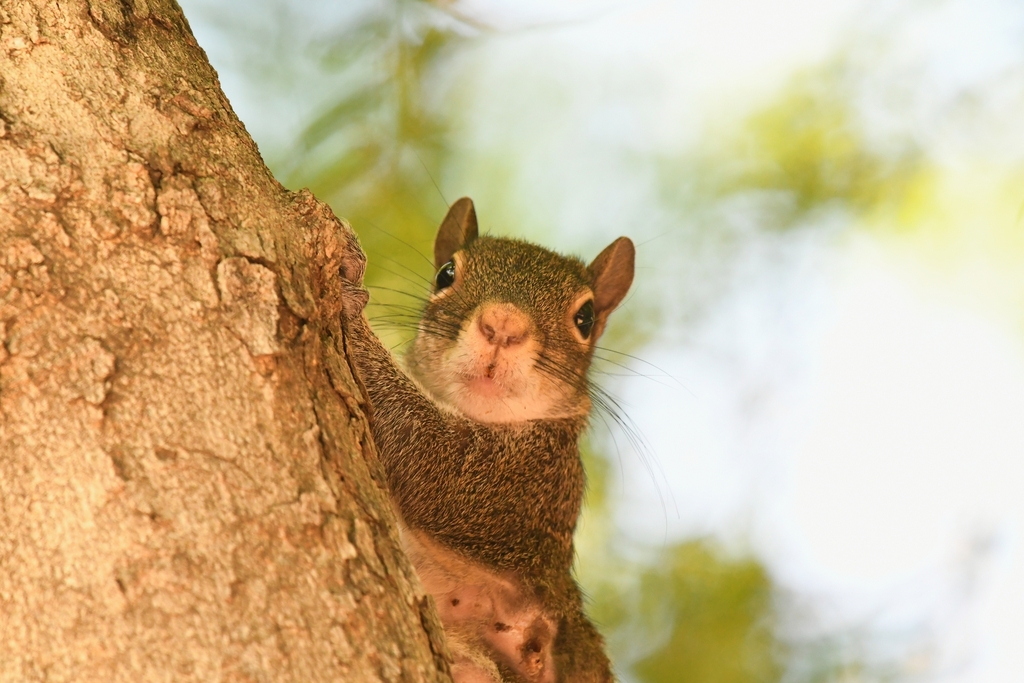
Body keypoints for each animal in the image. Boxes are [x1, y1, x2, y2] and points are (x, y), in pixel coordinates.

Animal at [339, 197, 634, 682]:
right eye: (445, 274)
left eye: (586, 318)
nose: (503, 325)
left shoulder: (533, 482)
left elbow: (434, 465)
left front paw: (350, 307)